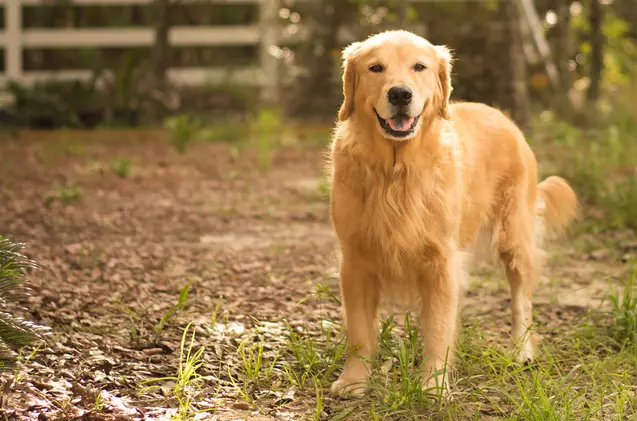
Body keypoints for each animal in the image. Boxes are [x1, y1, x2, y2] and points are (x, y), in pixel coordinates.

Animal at [326, 31, 580, 396]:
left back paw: (521, 351)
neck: (395, 171)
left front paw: (433, 384)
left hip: (513, 236)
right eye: (376, 68)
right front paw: (354, 380)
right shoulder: (355, 258)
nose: (400, 94)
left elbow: (438, 326)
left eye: (419, 67)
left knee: (522, 299)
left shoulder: (441, 259)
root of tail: (503, 117)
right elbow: (359, 330)